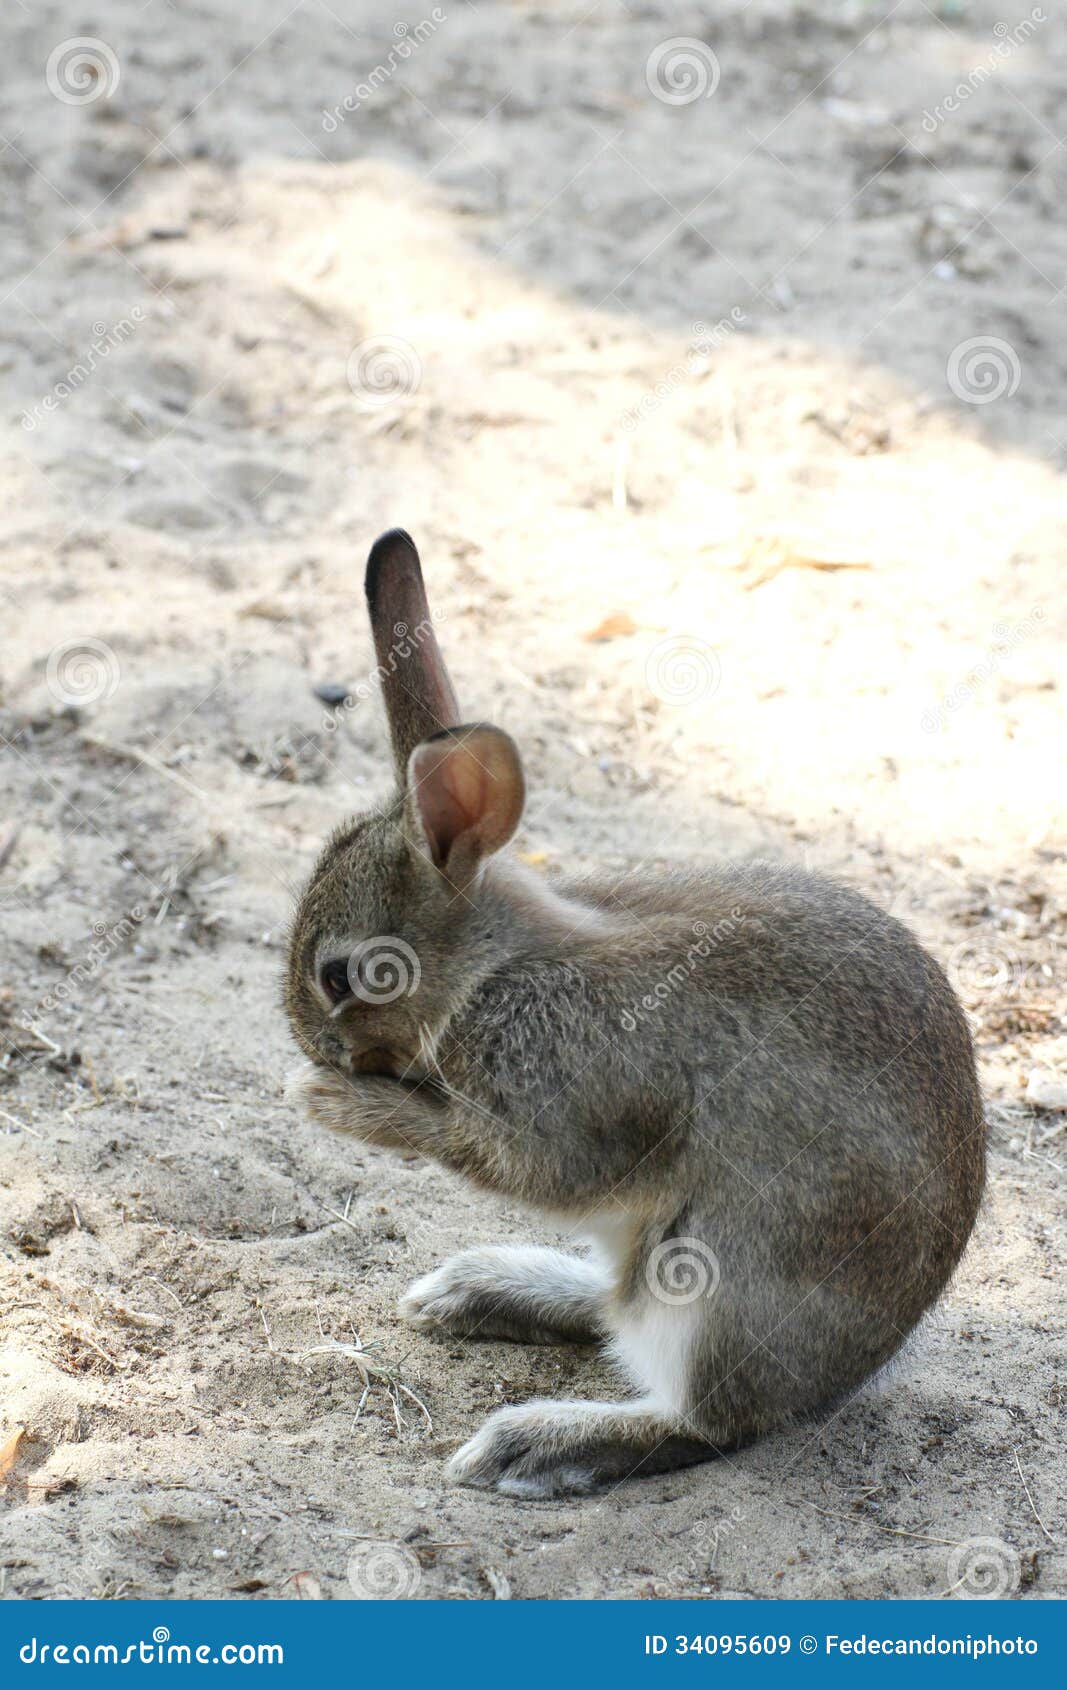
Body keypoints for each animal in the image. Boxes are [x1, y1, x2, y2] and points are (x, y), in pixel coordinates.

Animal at [285, 528, 985, 1499]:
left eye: (341, 976)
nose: (308, 1043)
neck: (493, 969)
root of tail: (860, 1367)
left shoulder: (566, 1111)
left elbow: (505, 1158)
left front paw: (327, 1103)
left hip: (710, 1285)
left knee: (701, 1421)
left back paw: (533, 1441)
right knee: (610, 1310)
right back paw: (480, 1289)